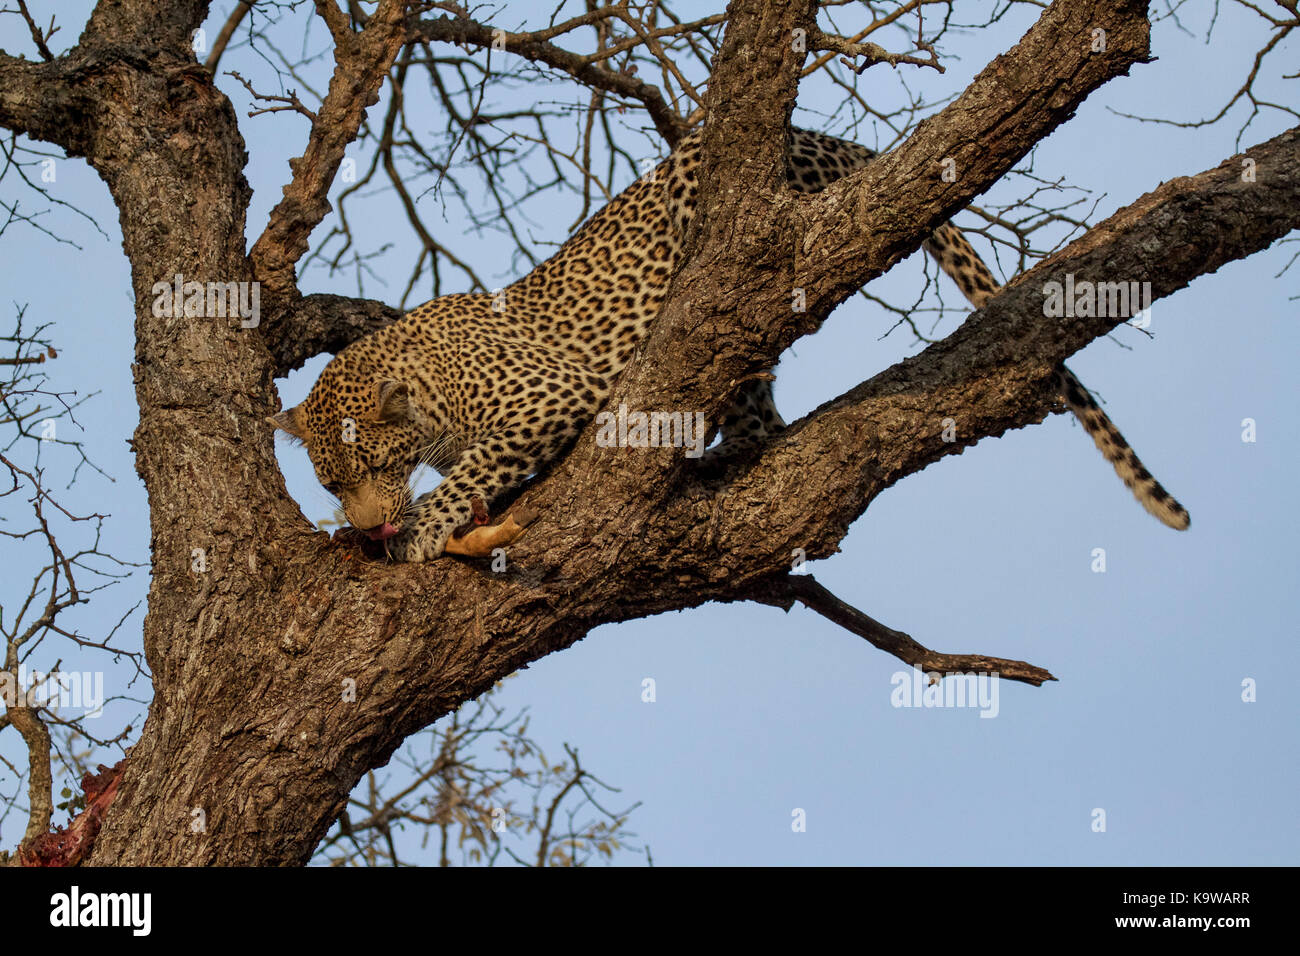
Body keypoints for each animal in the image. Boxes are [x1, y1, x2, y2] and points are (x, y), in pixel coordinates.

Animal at [271, 127, 1188, 562]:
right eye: (328, 481)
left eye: (371, 465)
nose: (367, 528)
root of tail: (821, 136)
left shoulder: (549, 397)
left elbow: (470, 472)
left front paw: (422, 528)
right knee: (757, 414)